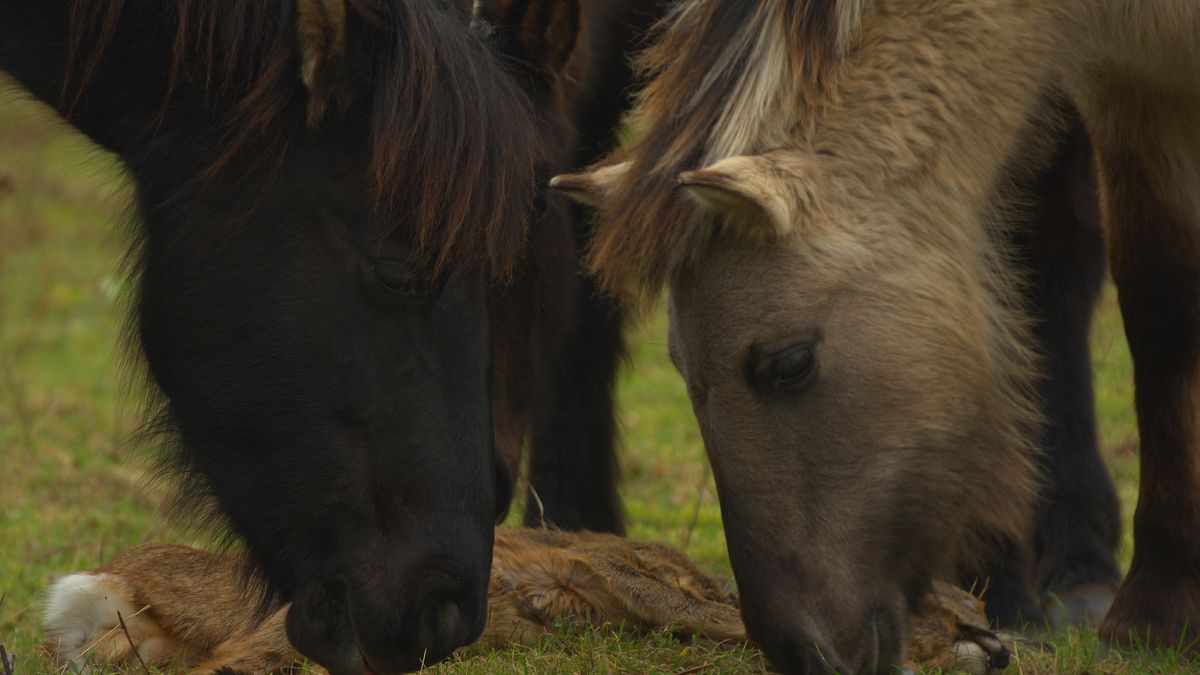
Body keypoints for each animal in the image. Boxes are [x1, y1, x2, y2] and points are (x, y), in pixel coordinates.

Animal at [553, 0, 1200, 672]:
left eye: (790, 363)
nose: (800, 651)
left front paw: (1153, 610)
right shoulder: (1129, 85)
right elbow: (1161, 308)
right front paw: (1161, 607)